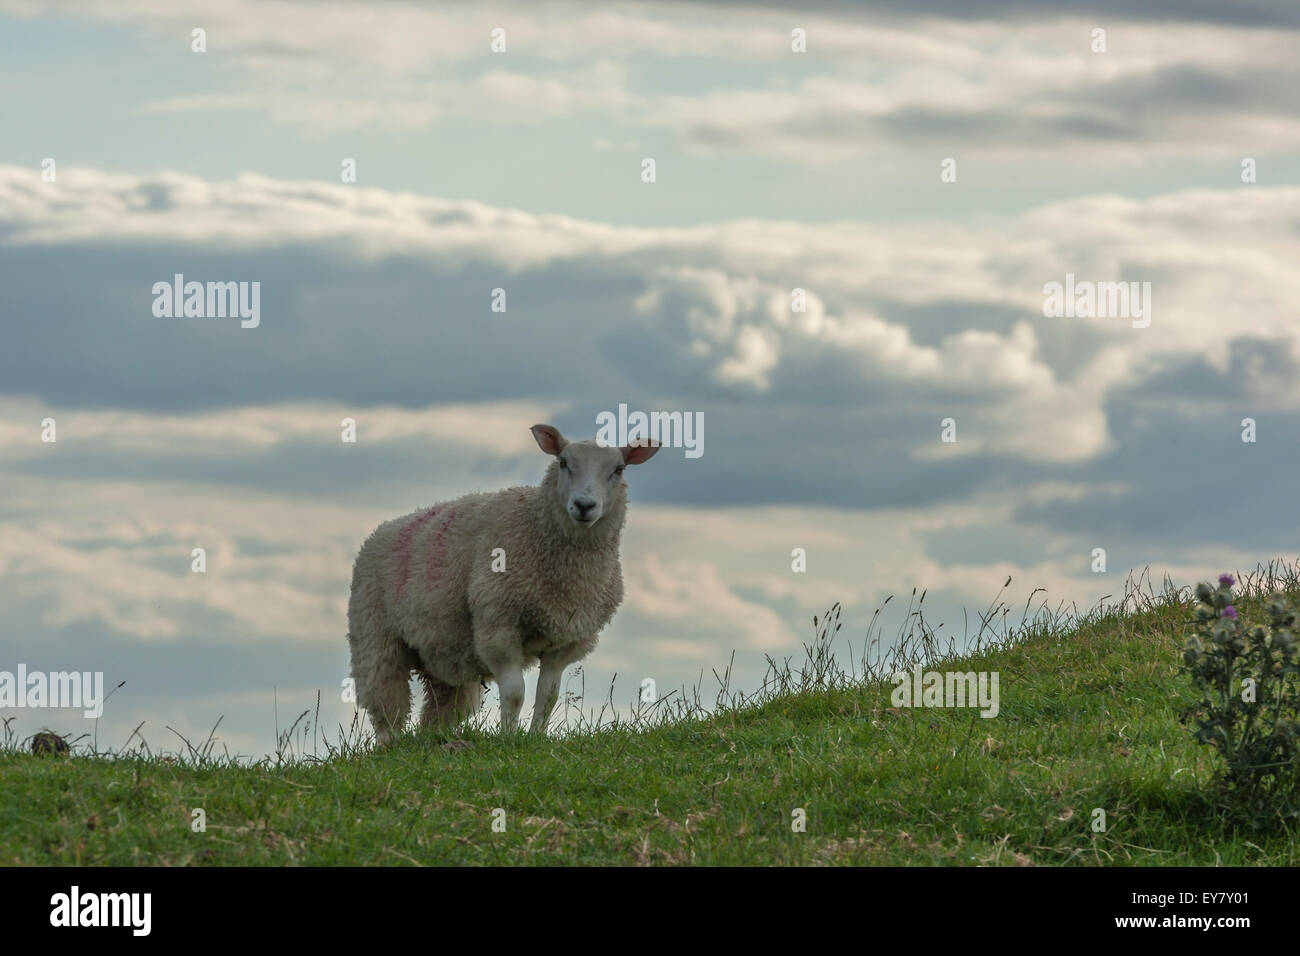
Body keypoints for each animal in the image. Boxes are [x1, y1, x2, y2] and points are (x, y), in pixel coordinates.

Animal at [347, 423, 660, 743]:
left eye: (618, 469)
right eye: (563, 463)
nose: (584, 506)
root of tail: (379, 532)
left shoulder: (565, 639)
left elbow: (548, 695)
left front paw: (536, 737)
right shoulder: (499, 624)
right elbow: (514, 693)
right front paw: (509, 738)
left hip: (441, 648)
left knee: (443, 703)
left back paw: (435, 739)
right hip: (376, 636)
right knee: (385, 700)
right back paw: (391, 743)